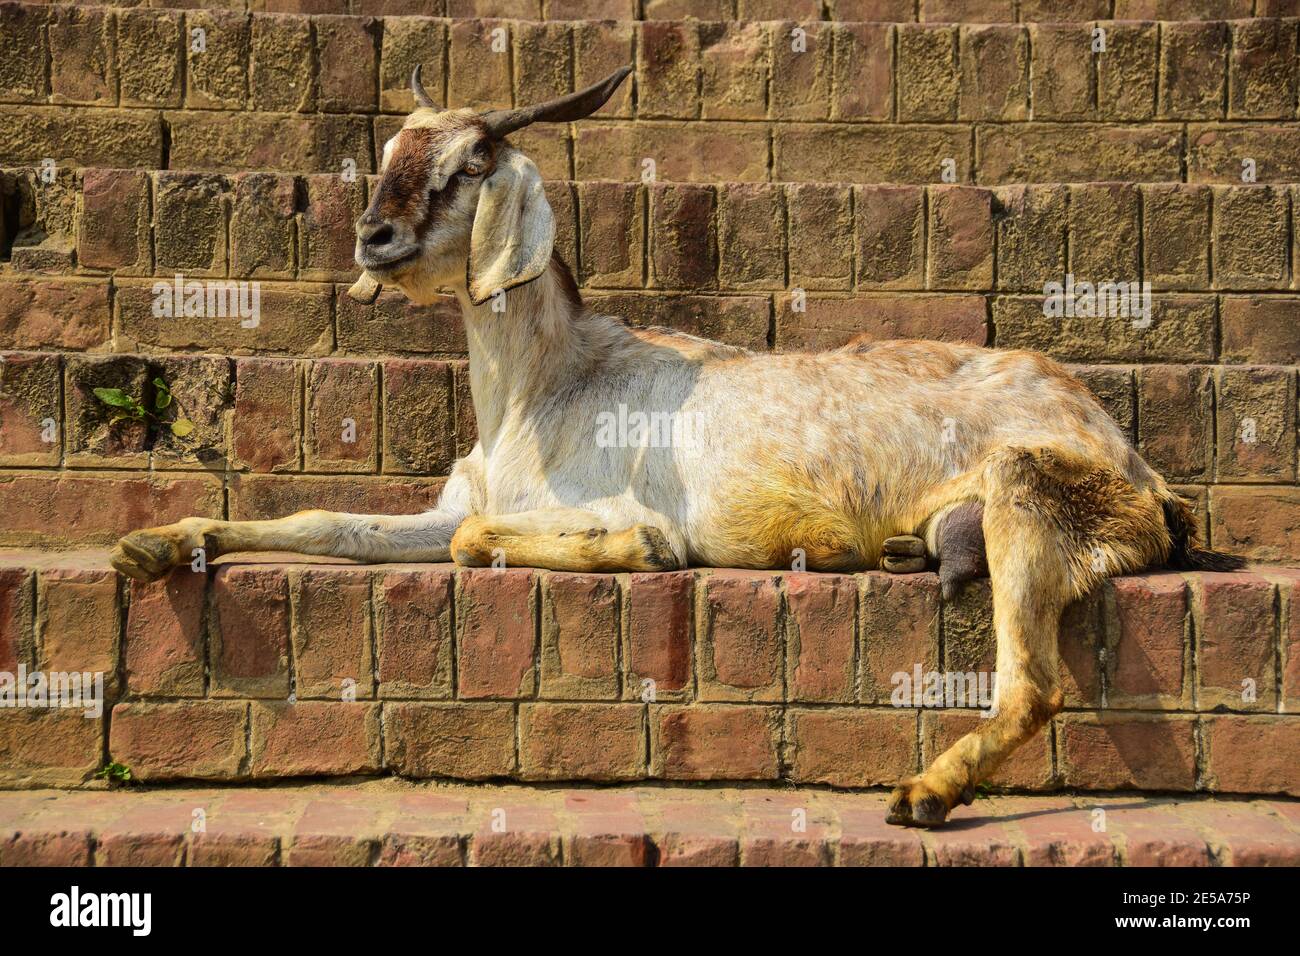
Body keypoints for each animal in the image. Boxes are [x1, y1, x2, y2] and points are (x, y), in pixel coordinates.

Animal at [111, 66, 1244, 827]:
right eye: (392, 151)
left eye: (470, 165)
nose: (372, 240)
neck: (542, 385)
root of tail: (1143, 470)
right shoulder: (443, 504)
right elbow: (332, 523)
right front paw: (157, 543)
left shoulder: (598, 502)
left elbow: (491, 540)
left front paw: (641, 557)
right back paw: (898, 557)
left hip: (1035, 485)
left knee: (1035, 682)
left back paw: (928, 787)